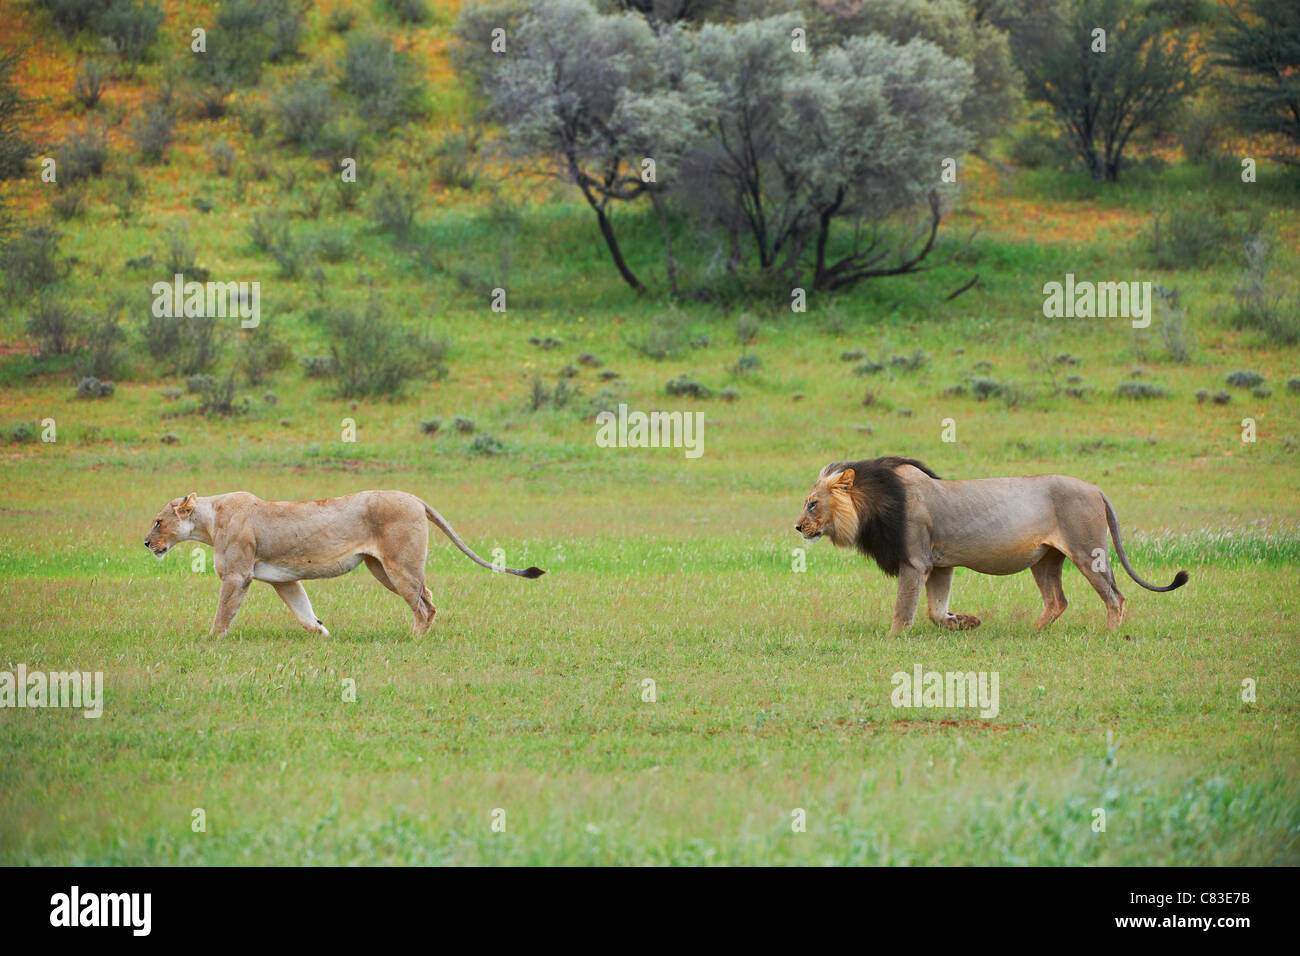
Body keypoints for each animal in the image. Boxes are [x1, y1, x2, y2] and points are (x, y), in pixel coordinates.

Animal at [144, 490, 544, 637]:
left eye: (158, 521)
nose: (146, 543)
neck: (209, 521)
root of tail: (415, 498)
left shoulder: (236, 575)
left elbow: (223, 613)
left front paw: (210, 642)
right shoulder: (283, 580)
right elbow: (303, 611)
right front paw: (324, 635)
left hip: (399, 566)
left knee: (423, 605)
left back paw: (414, 640)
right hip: (381, 568)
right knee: (428, 596)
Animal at [794, 457, 1188, 633]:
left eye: (812, 503)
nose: (797, 527)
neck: (872, 505)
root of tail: (1096, 488)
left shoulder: (915, 562)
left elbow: (903, 610)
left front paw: (892, 639)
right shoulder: (940, 564)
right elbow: (935, 610)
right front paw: (965, 621)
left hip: (1087, 552)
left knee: (1115, 597)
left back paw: (1108, 635)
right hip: (1045, 559)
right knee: (1057, 601)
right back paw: (1031, 634)